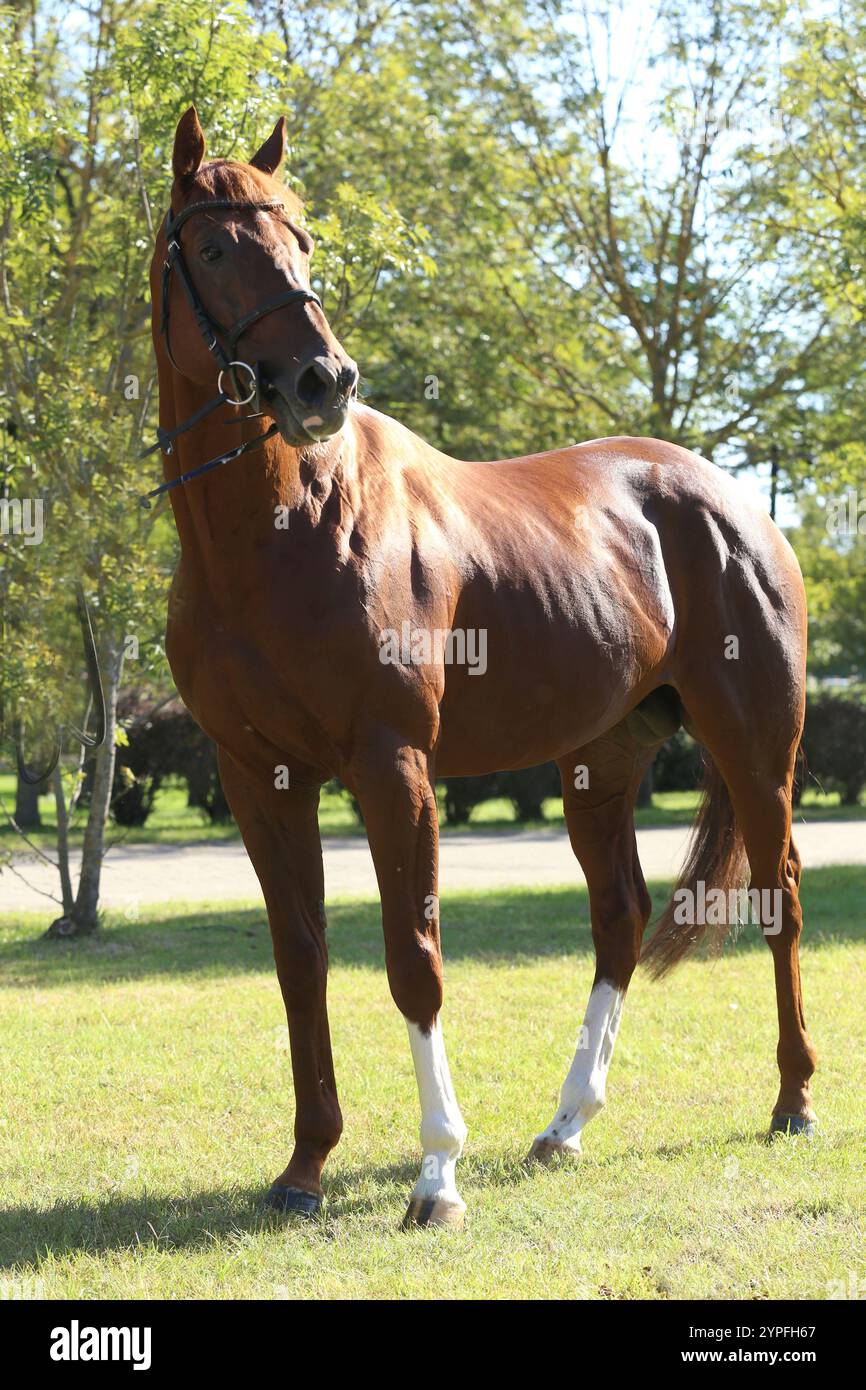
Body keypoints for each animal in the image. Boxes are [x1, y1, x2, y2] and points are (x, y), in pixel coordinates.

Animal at [149, 106, 816, 1228]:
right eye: (212, 248)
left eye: (302, 239)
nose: (322, 381)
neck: (285, 533)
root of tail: (732, 502)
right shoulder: (258, 780)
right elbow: (299, 961)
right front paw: (304, 1167)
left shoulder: (393, 769)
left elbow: (413, 961)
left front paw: (437, 1175)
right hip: (599, 763)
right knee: (619, 918)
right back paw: (565, 1124)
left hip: (755, 752)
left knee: (780, 896)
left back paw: (795, 1101)